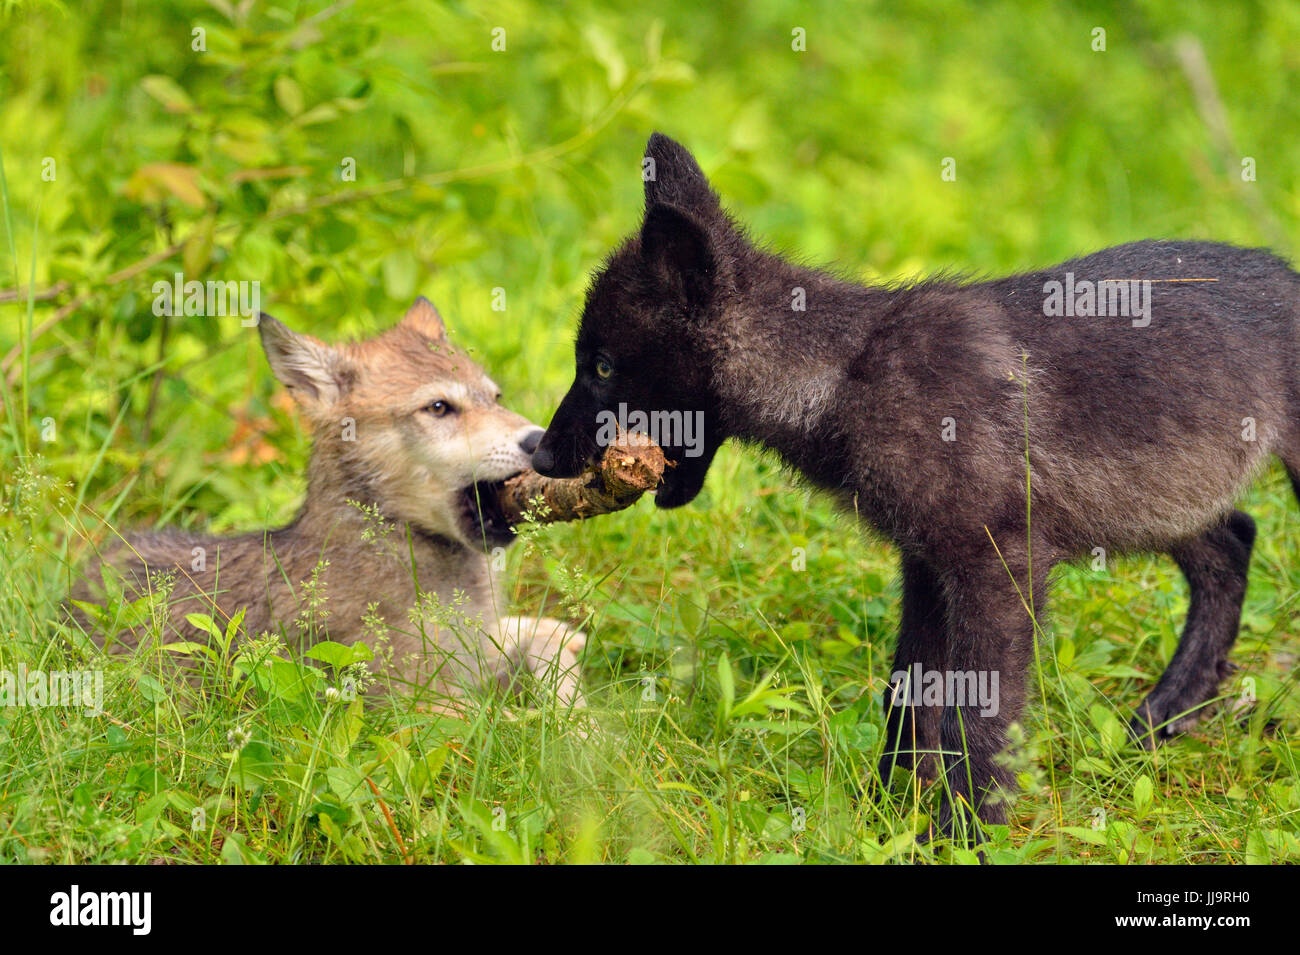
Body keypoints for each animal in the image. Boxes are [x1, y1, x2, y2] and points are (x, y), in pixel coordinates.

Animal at [532, 132, 1300, 836]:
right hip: (1165, 501)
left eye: (601, 366)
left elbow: (976, 723)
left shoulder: (999, 568)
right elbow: (908, 698)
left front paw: (963, 836)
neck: (844, 376)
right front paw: (885, 820)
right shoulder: (927, 562)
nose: (538, 457)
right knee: (1235, 541)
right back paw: (1165, 717)